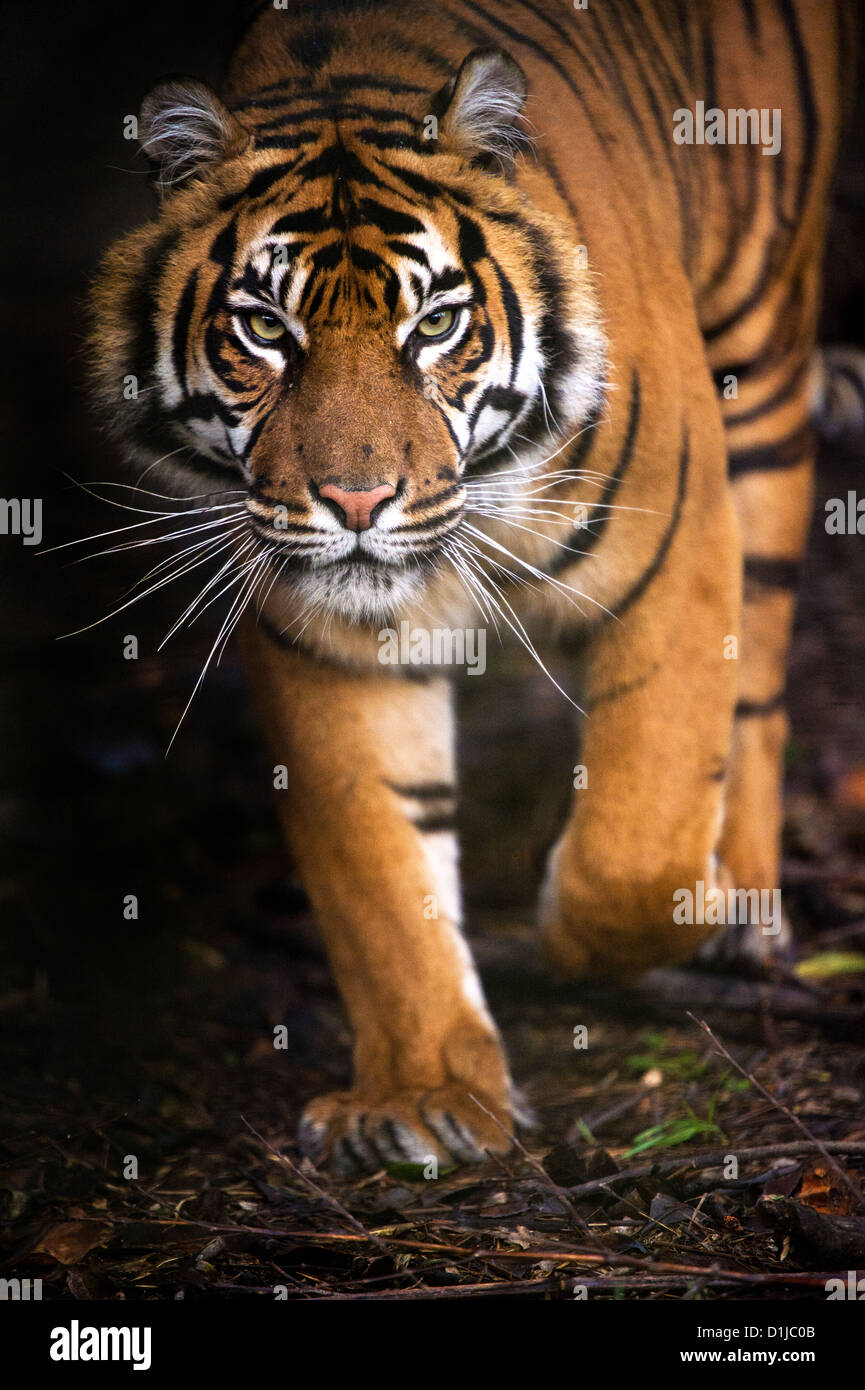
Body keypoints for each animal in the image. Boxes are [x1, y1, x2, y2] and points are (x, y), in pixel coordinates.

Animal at [88, 0, 858, 1172]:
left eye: (435, 324)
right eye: (265, 329)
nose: (356, 501)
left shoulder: (679, 548)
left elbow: (637, 842)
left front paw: (584, 942)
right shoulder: (325, 636)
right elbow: (380, 874)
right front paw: (423, 1096)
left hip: (759, 361)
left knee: (760, 684)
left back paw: (740, 908)